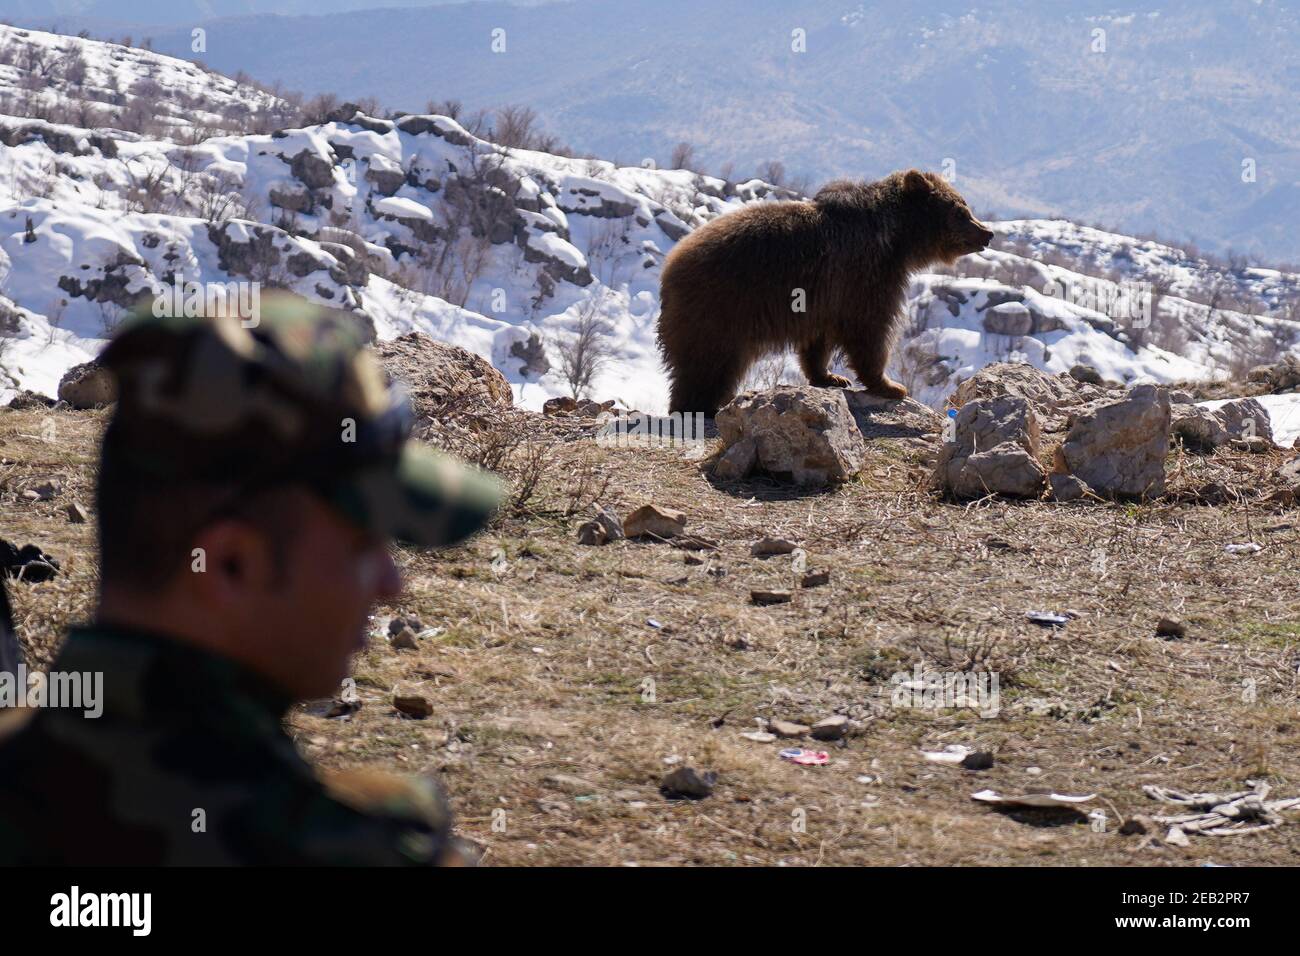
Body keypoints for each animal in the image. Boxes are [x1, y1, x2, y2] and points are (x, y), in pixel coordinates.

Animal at [656, 169, 994, 414]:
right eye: (961, 210)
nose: (987, 233)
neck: (898, 241)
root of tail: (670, 266)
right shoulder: (867, 276)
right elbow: (870, 329)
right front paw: (891, 384)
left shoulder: (826, 295)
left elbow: (819, 340)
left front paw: (831, 376)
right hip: (720, 308)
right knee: (707, 363)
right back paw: (699, 406)